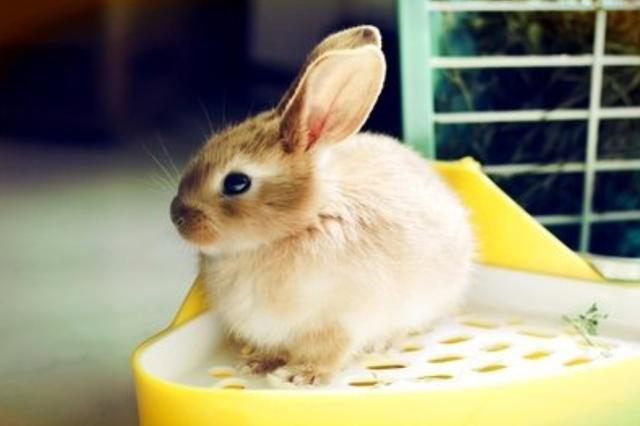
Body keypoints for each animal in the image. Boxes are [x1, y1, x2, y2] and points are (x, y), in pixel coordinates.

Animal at [170, 25, 474, 385]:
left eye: (236, 183)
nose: (177, 215)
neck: (297, 227)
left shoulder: (339, 322)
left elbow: (330, 352)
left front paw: (303, 376)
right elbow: (274, 350)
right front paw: (256, 364)